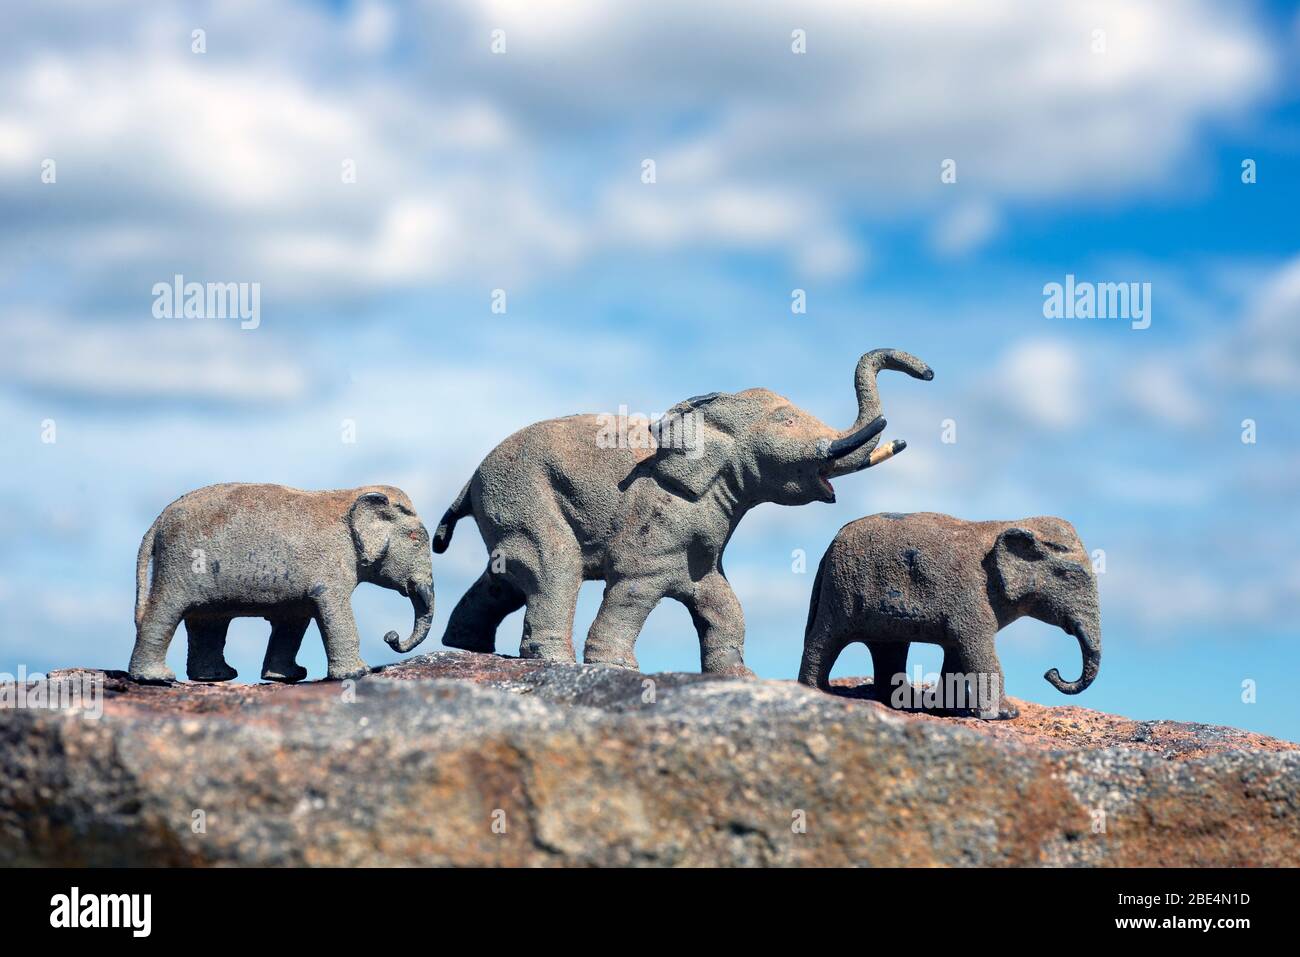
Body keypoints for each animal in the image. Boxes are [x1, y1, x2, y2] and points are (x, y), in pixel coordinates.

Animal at [128, 483, 435, 684]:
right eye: (416, 540)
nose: (391, 636)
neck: (350, 494)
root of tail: (156, 523)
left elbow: (294, 619)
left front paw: (288, 677)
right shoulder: (330, 565)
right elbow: (334, 609)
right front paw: (358, 673)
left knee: (207, 621)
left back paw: (215, 677)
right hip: (179, 565)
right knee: (166, 610)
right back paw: (156, 679)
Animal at [433, 348, 933, 674]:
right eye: (787, 421)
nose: (927, 373)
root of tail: (469, 481)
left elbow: (718, 597)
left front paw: (737, 677)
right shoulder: (659, 514)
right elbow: (635, 585)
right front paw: (619, 669)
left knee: (503, 576)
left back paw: (464, 649)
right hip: (522, 495)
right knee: (551, 564)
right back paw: (552, 663)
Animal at [798, 512, 1101, 719]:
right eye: (1069, 576)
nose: (1052, 672)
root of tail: (830, 545)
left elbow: (957, 653)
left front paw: (947, 709)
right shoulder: (971, 596)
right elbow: (978, 651)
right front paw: (1006, 714)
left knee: (888, 648)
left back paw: (905, 701)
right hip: (840, 593)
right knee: (825, 639)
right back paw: (817, 692)